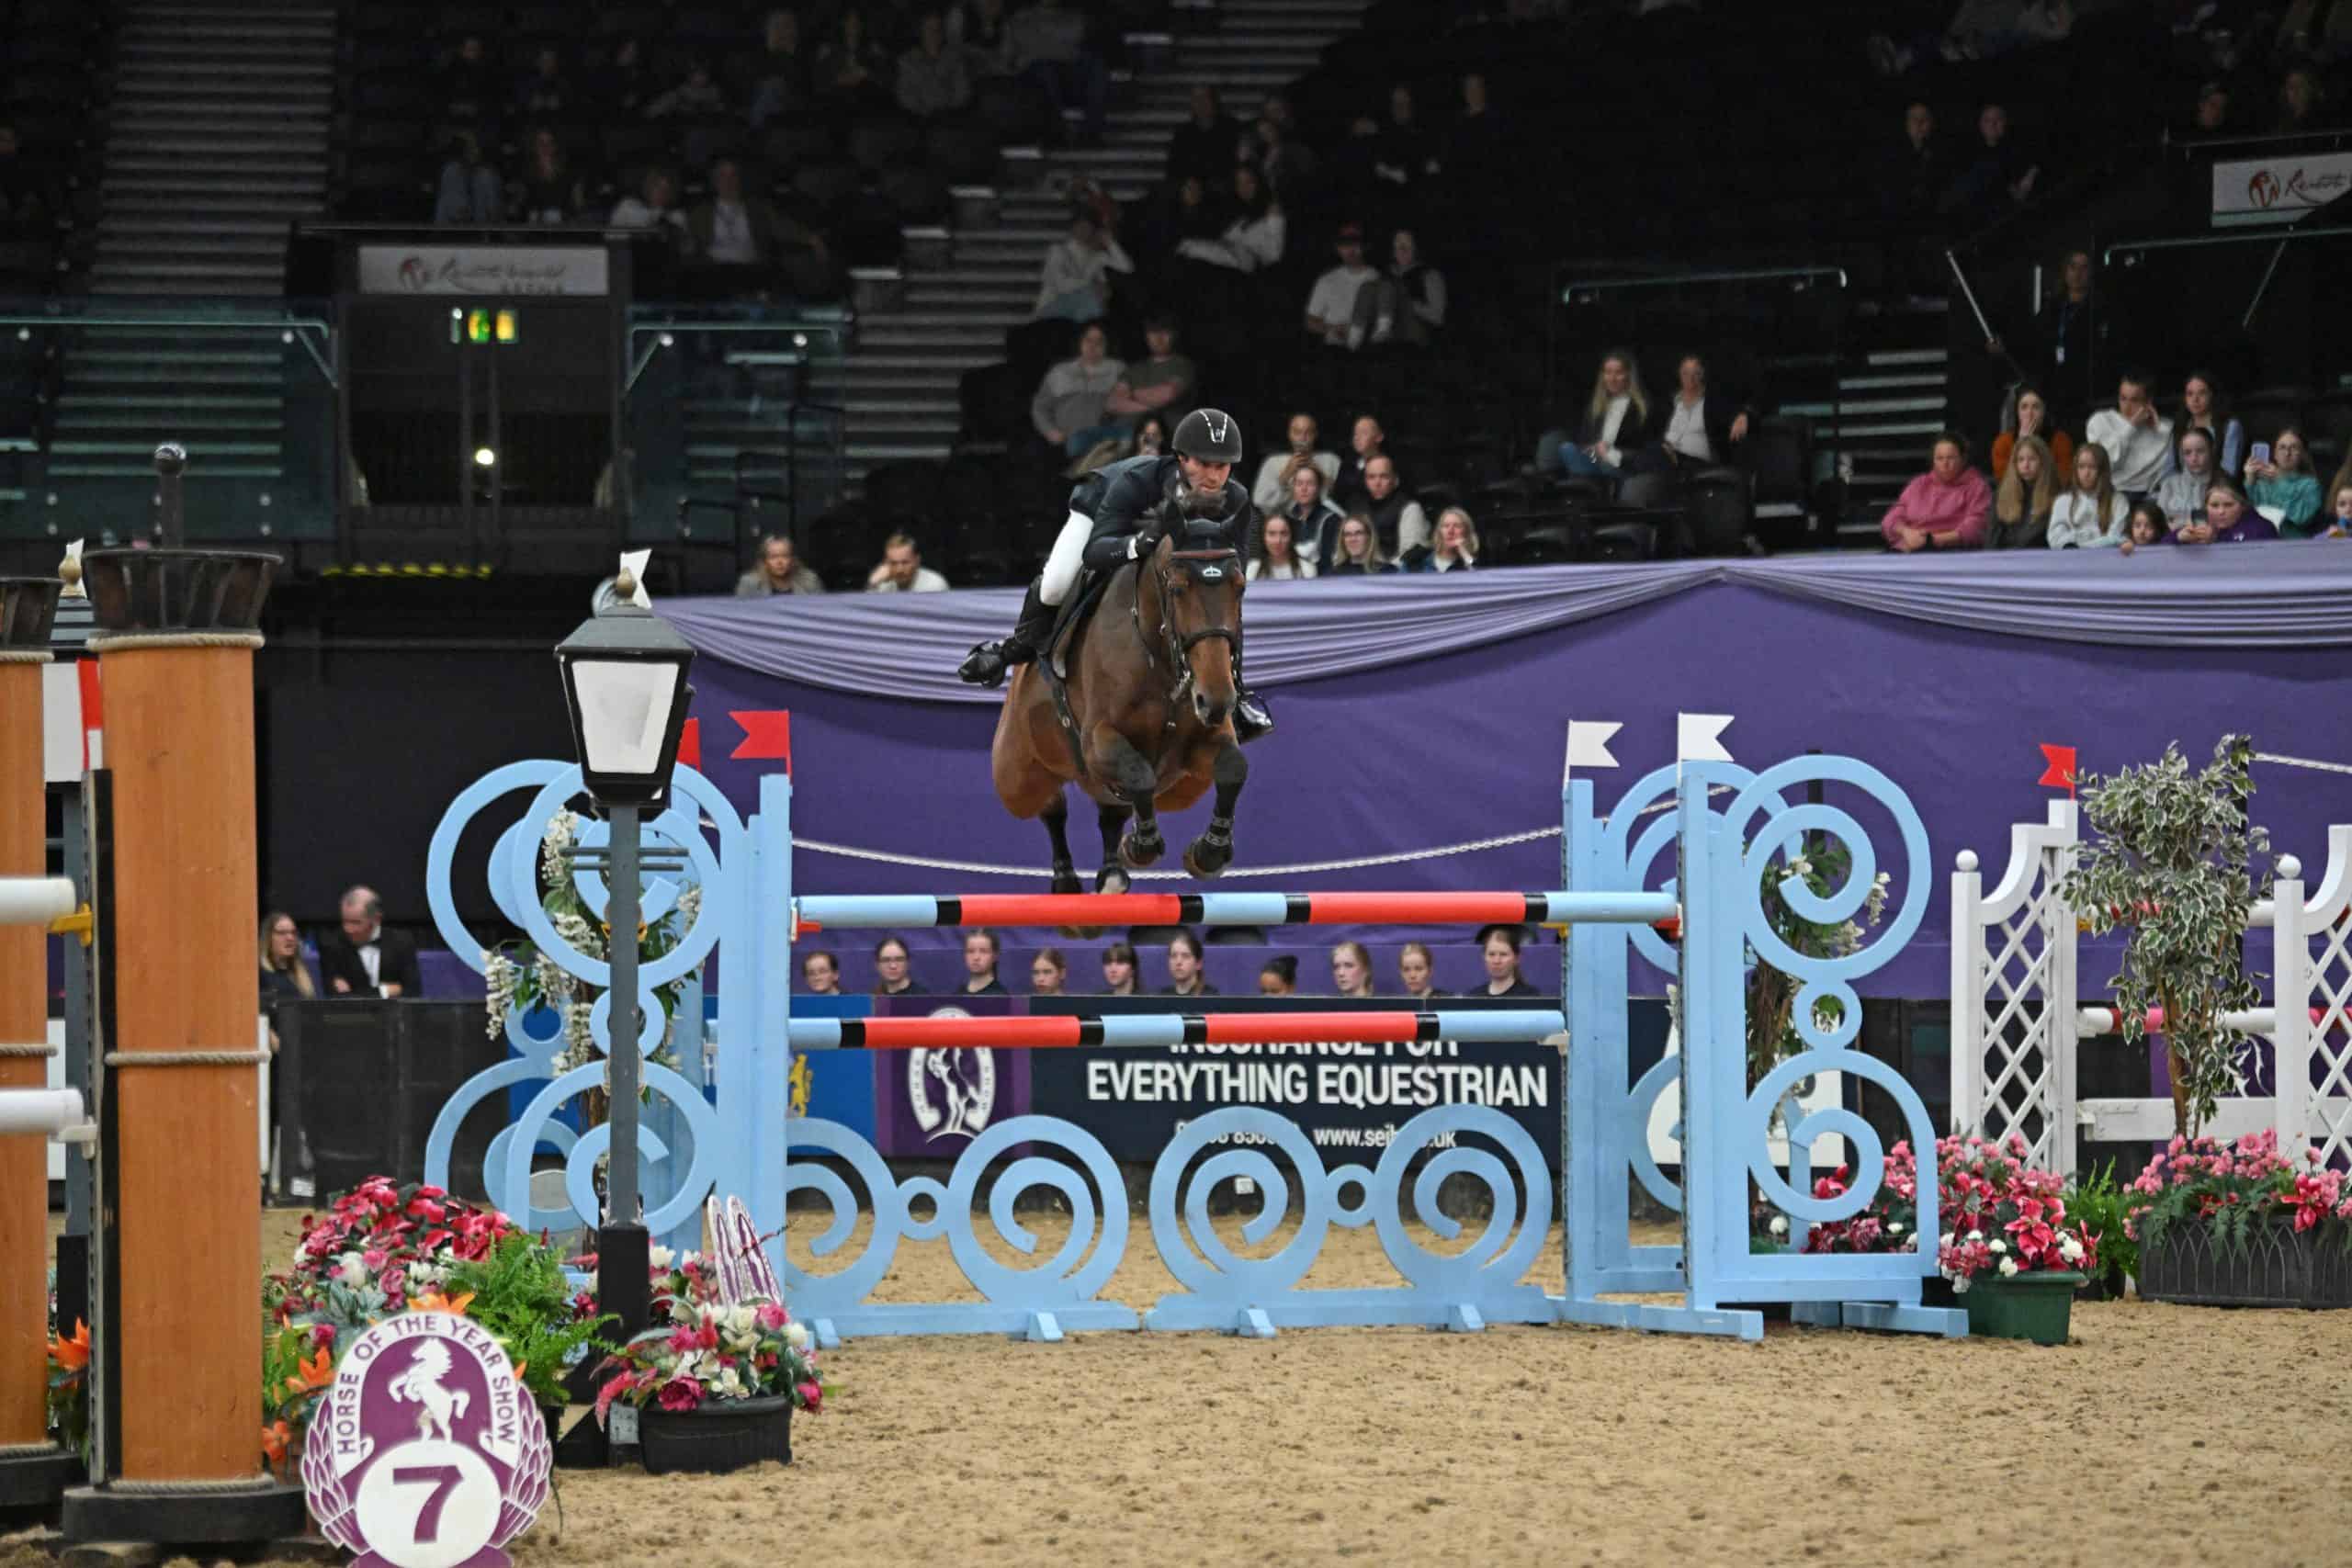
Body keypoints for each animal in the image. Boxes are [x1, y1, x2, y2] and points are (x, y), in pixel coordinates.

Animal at [989, 532, 1250, 897]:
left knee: (1110, 813)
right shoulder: (1097, 741)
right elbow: (1139, 774)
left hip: (1181, 791)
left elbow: (1233, 767)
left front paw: (1208, 853)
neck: (1158, 658)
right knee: (1051, 804)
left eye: (1240, 587)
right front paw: (1141, 846)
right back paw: (1066, 882)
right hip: (1015, 782)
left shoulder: (1201, 741)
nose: (1216, 701)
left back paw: (1112, 875)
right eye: (1178, 589)